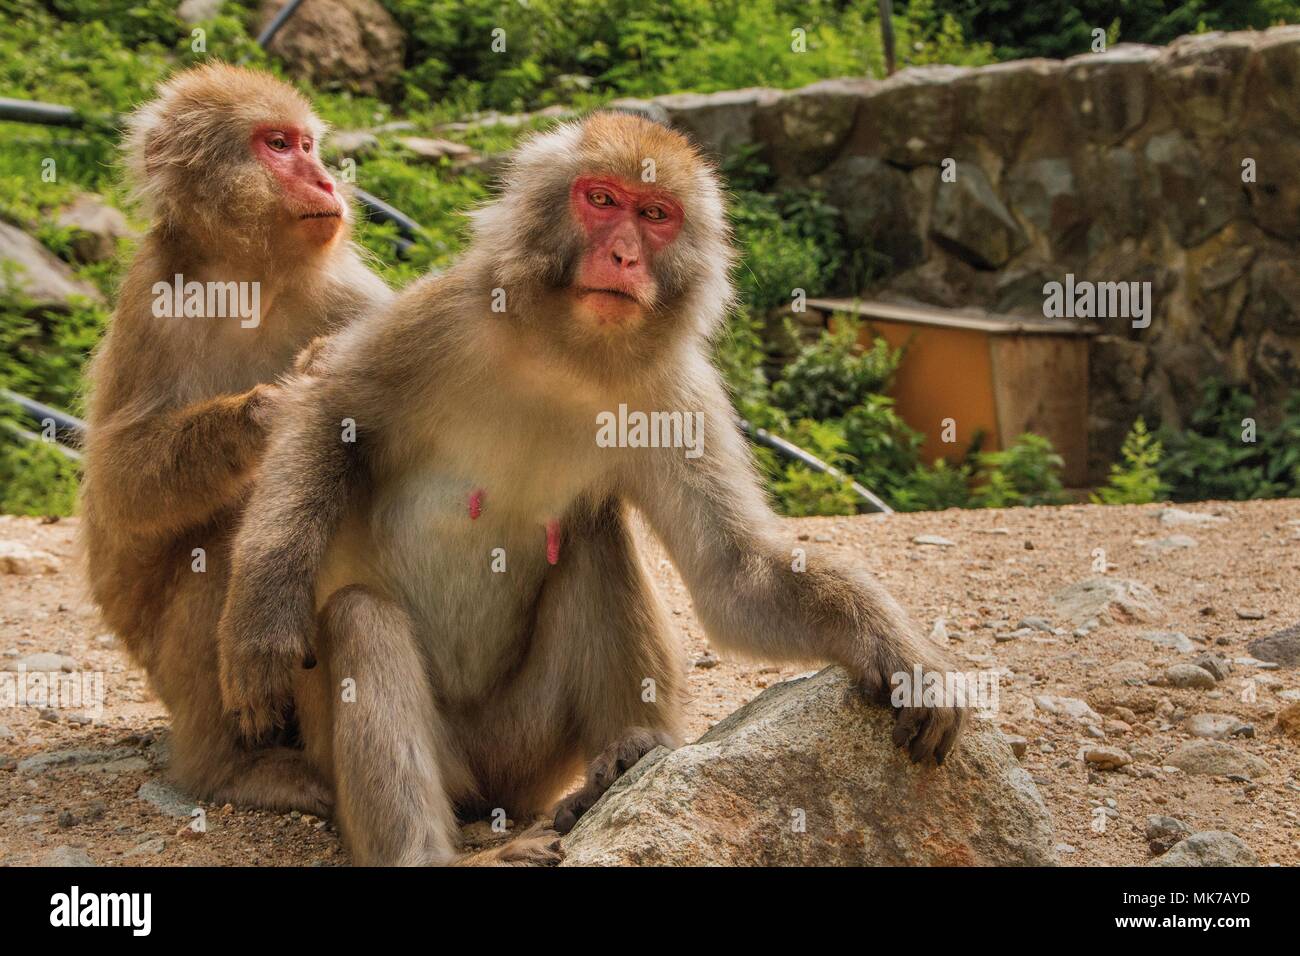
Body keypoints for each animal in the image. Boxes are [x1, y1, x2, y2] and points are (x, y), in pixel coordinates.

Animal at [80, 64, 393, 817]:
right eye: (277, 145)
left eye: (308, 144)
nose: (326, 180)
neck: (251, 281)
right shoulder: (152, 298)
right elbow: (116, 484)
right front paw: (269, 409)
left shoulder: (351, 295)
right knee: (214, 545)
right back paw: (229, 770)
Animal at [217, 112, 965, 865]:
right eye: (601, 200)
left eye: (656, 215)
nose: (626, 257)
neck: (565, 355)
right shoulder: (444, 315)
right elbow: (326, 411)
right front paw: (263, 622)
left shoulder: (674, 392)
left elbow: (736, 572)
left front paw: (896, 650)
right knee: (360, 619)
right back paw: (446, 853)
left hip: (526, 754)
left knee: (594, 534)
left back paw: (621, 761)